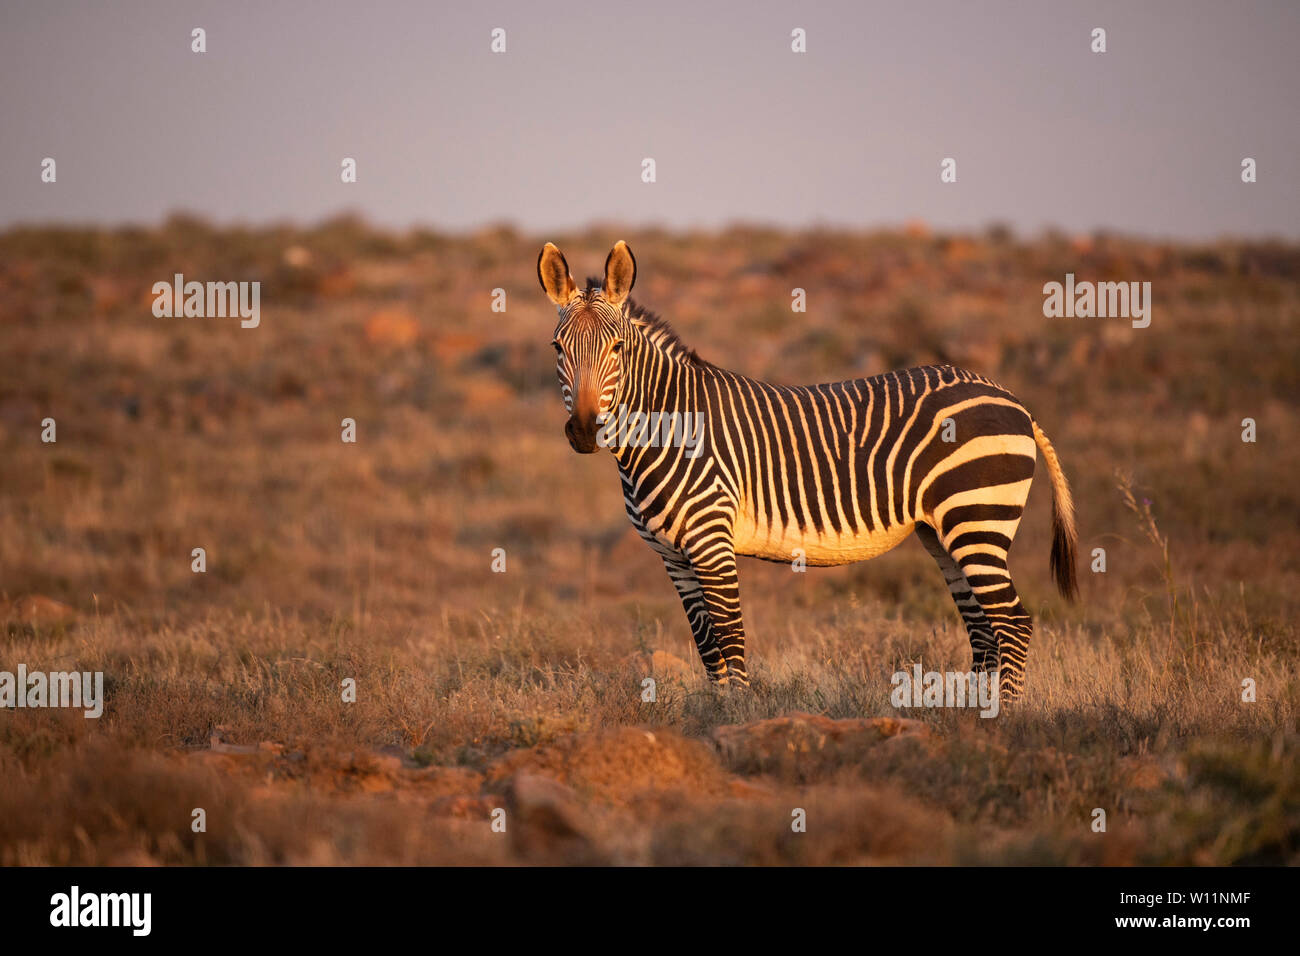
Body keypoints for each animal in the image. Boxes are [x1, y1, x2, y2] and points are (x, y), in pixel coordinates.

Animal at [538, 240, 1078, 702]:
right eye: (557, 348)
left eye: (617, 350)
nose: (584, 431)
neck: (668, 427)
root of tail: (1011, 399)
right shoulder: (673, 555)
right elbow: (707, 645)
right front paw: (714, 712)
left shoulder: (711, 541)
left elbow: (730, 637)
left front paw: (735, 715)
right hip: (943, 532)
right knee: (983, 627)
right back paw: (970, 713)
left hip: (977, 517)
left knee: (1012, 622)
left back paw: (1000, 715)